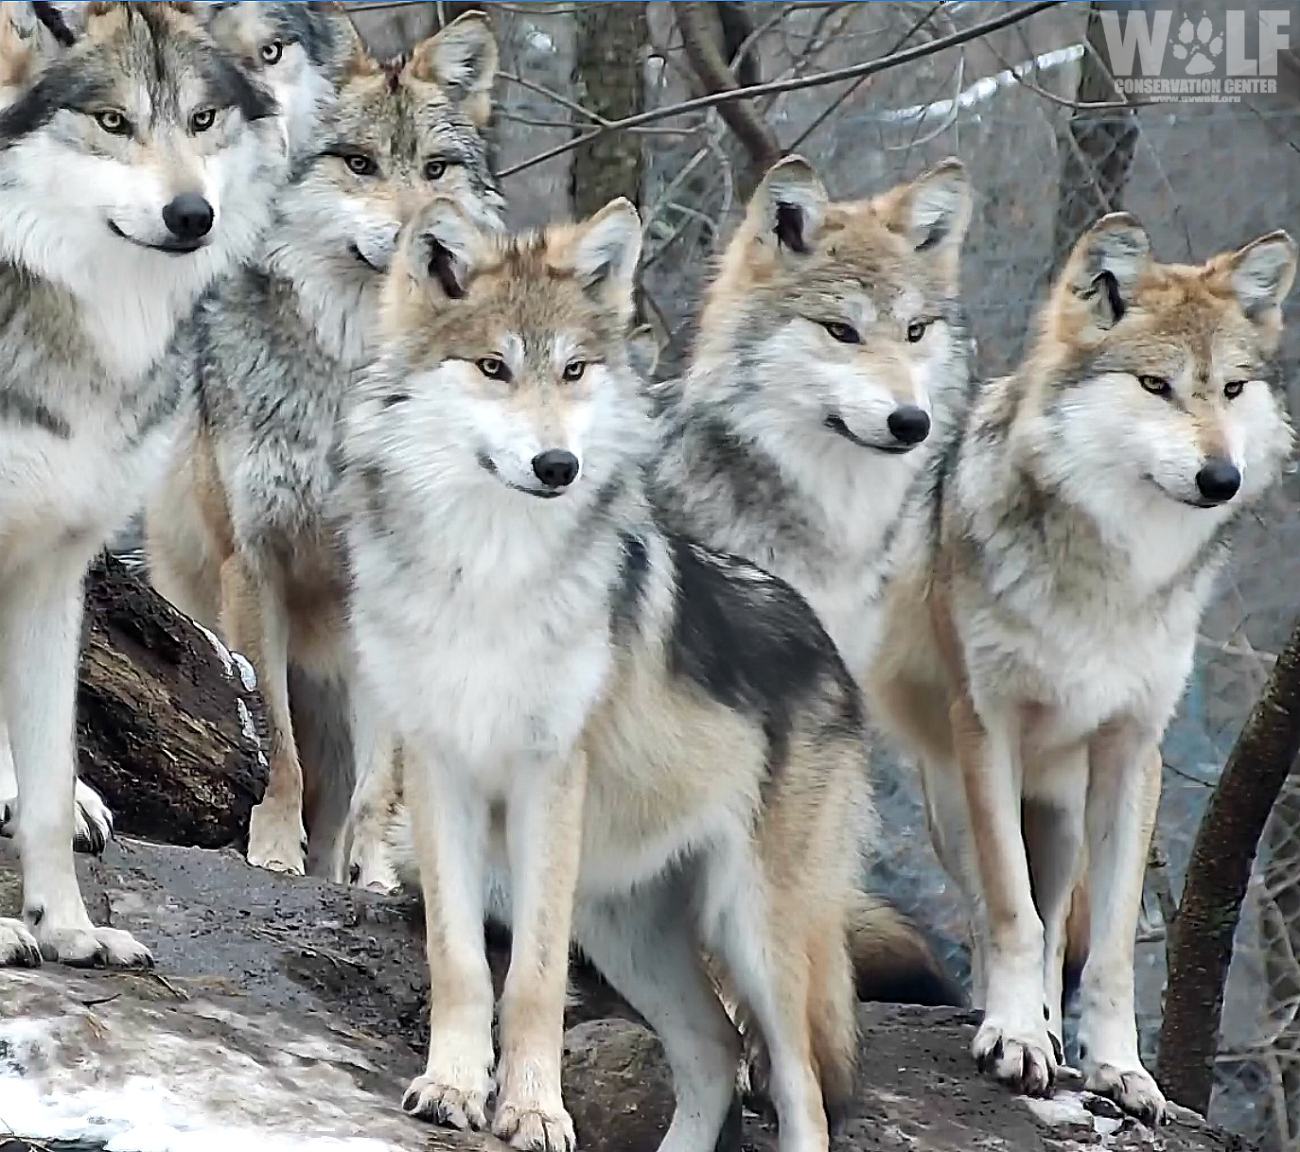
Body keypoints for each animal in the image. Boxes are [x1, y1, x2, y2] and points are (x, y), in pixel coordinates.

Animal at [0, 0, 284, 969]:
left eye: (201, 120)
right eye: (113, 121)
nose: (192, 214)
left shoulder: (51, 562)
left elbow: (49, 776)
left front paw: (70, 928)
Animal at [173, 11, 503, 881]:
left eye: (436, 170)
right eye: (359, 164)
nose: (432, 243)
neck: (344, 381)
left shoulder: (386, 587)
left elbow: (380, 775)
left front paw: (374, 872)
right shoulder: (252, 562)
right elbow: (274, 741)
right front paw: (272, 849)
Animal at [338, 196, 872, 1152]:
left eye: (575, 370)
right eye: (494, 368)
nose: (559, 466)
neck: (489, 573)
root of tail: (824, 638)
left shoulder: (550, 776)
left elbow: (534, 981)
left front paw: (533, 1112)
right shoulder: (440, 773)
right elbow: (460, 961)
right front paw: (451, 1088)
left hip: (755, 931)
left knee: (800, 1091)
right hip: (626, 922)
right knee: (713, 1054)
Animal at [866, 212, 1298, 1123]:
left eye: (1232, 389)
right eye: (1155, 385)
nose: (1221, 477)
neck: (1111, 571)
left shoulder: (1134, 751)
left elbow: (1109, 947)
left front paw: (1121, 1070)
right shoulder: (987, 732)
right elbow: (1010, 912)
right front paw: (1015, 1040)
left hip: (1062, 810)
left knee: (1056, 904)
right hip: (953, 799)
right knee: (992, 909)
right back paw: (1016, 1021)